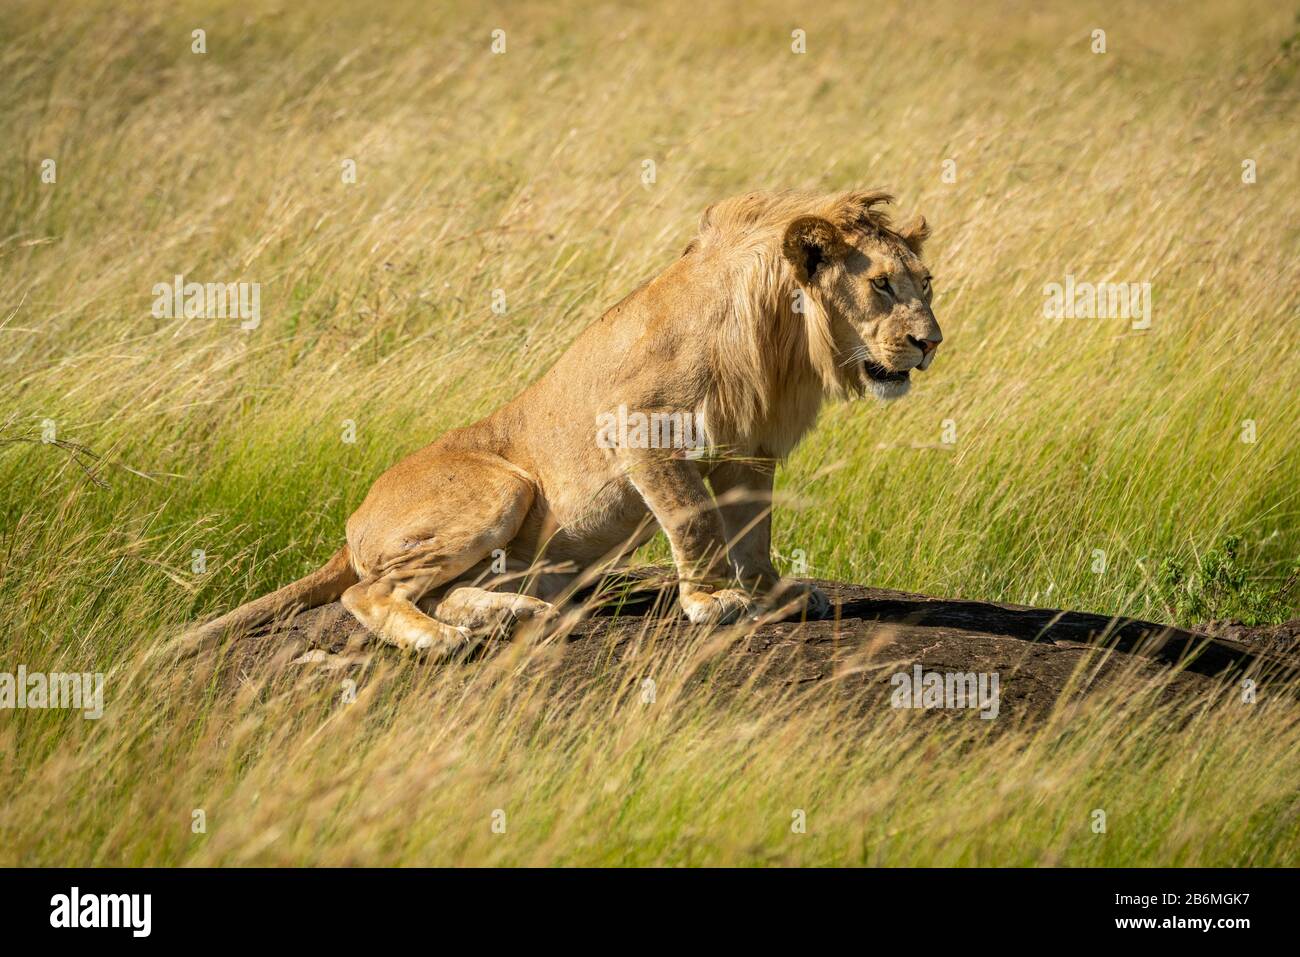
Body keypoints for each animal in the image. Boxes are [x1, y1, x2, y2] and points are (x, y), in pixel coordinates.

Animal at [181, 189, 942, 657]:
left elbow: (753, 531)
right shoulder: (642, 429)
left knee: (447, 590)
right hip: (503, 487)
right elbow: (694, 520)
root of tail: (351, 526)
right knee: (368, 591)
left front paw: (770, 593)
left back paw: (519, 615)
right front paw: (709, 602)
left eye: (926, 284)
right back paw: (442, 640)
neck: (785, 338)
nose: (930, 341)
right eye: (879, 284)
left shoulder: (749, 448)